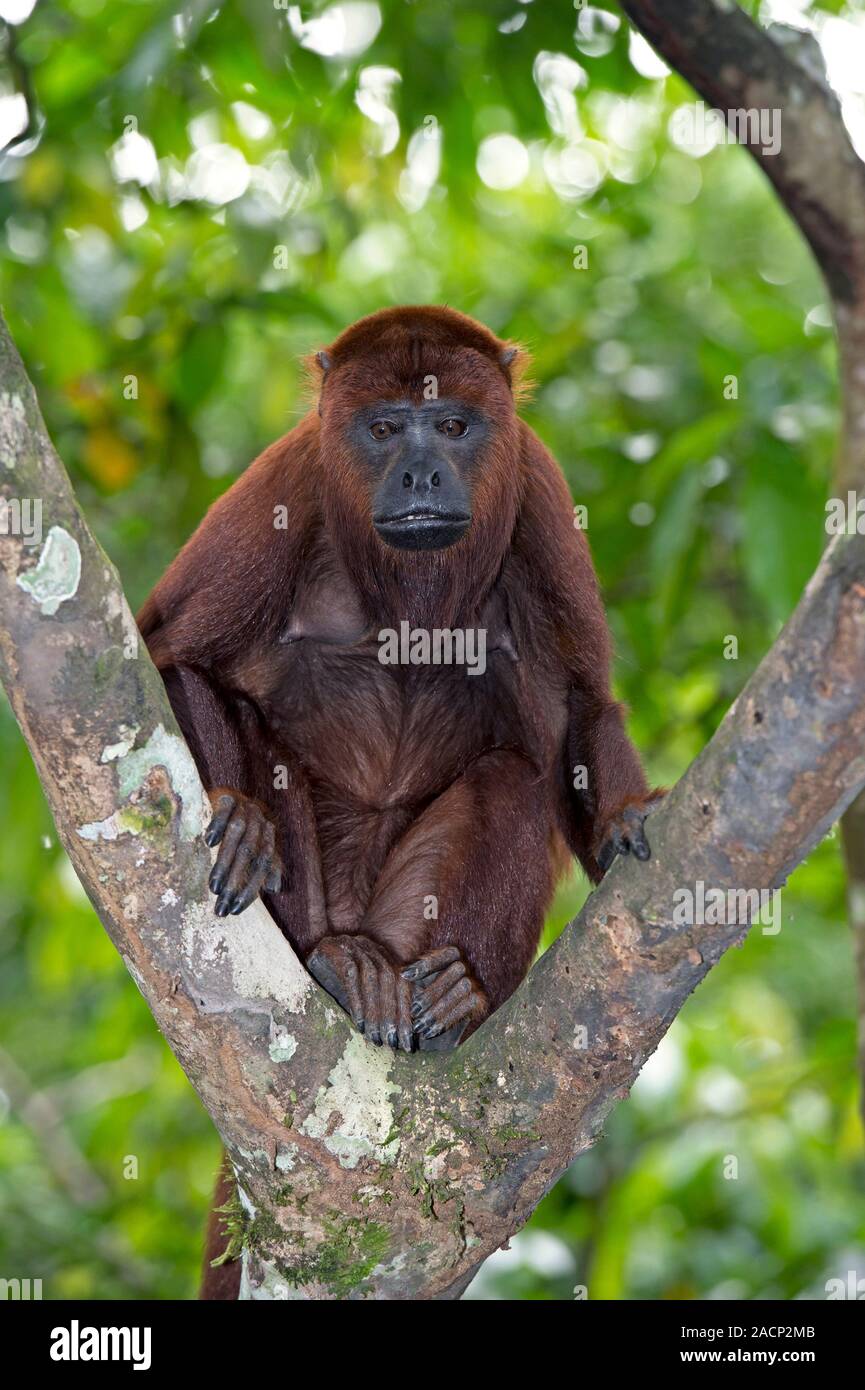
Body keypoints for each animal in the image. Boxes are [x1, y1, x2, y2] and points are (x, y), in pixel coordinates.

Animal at [137, 306, 661, 1295]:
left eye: (452, 424)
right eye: (383, 430)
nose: (420, 472)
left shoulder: (535, 486)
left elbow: (577, 708)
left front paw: (619, 828)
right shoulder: (291, 477)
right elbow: (171, 655)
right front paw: (239, 811)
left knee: (512, 780)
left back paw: (456, 996)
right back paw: (338, 966)